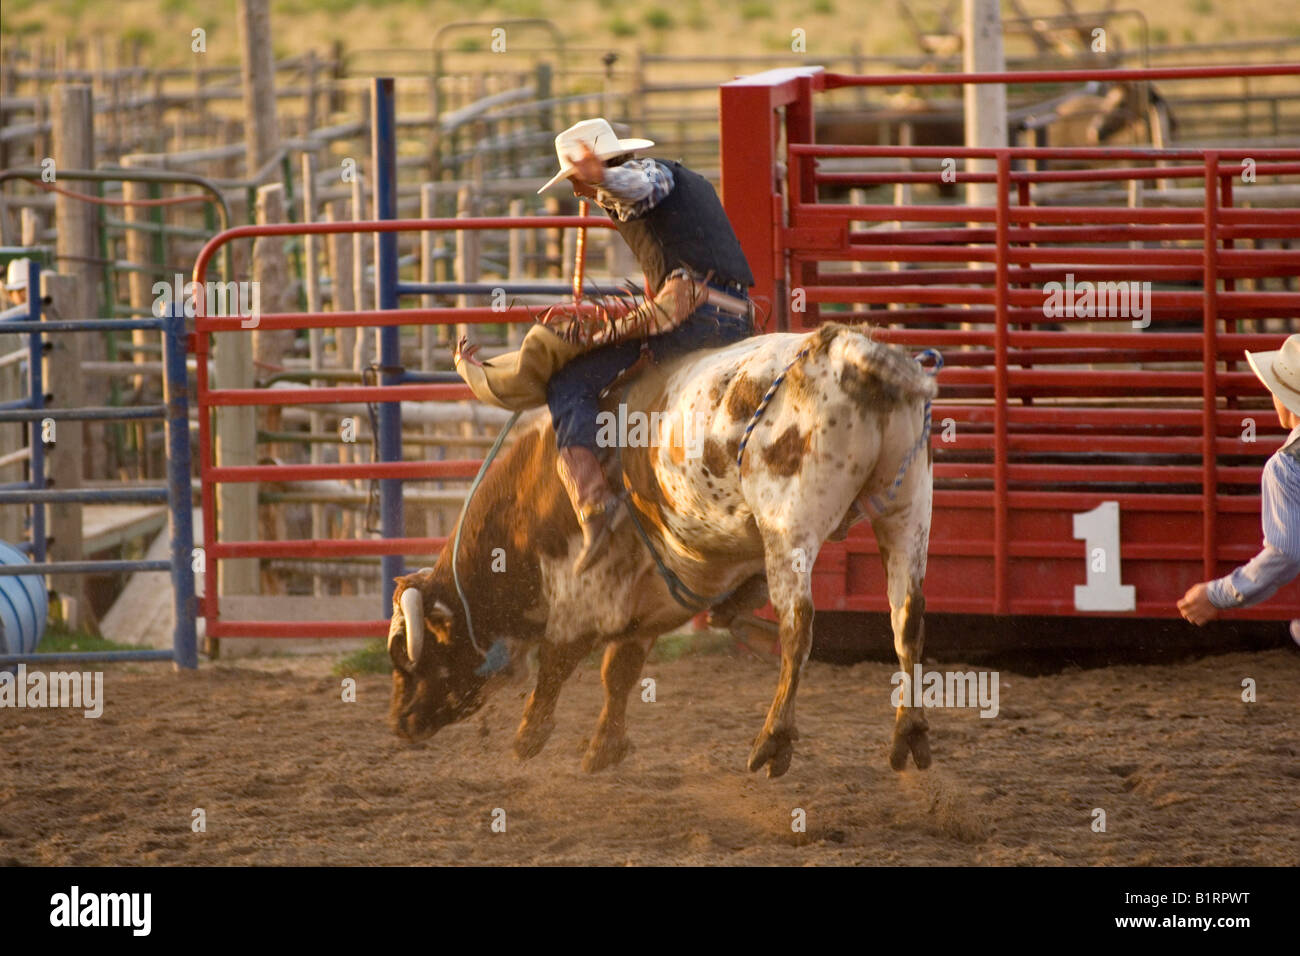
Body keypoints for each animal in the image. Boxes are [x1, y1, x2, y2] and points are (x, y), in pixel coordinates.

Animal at [387, 321, 938, 778]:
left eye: (408, 657)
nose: (399, 722)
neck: (534, 494)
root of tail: (845, 347)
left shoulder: (582, 593)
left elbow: (559, 659)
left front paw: (529, 736)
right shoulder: (646, 601)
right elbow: (619, 670)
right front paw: (604, 747)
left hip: (790, 527)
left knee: (798, 625)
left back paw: (773, 739)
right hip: (907, 509)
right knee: (907, 617)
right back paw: (909, 735)